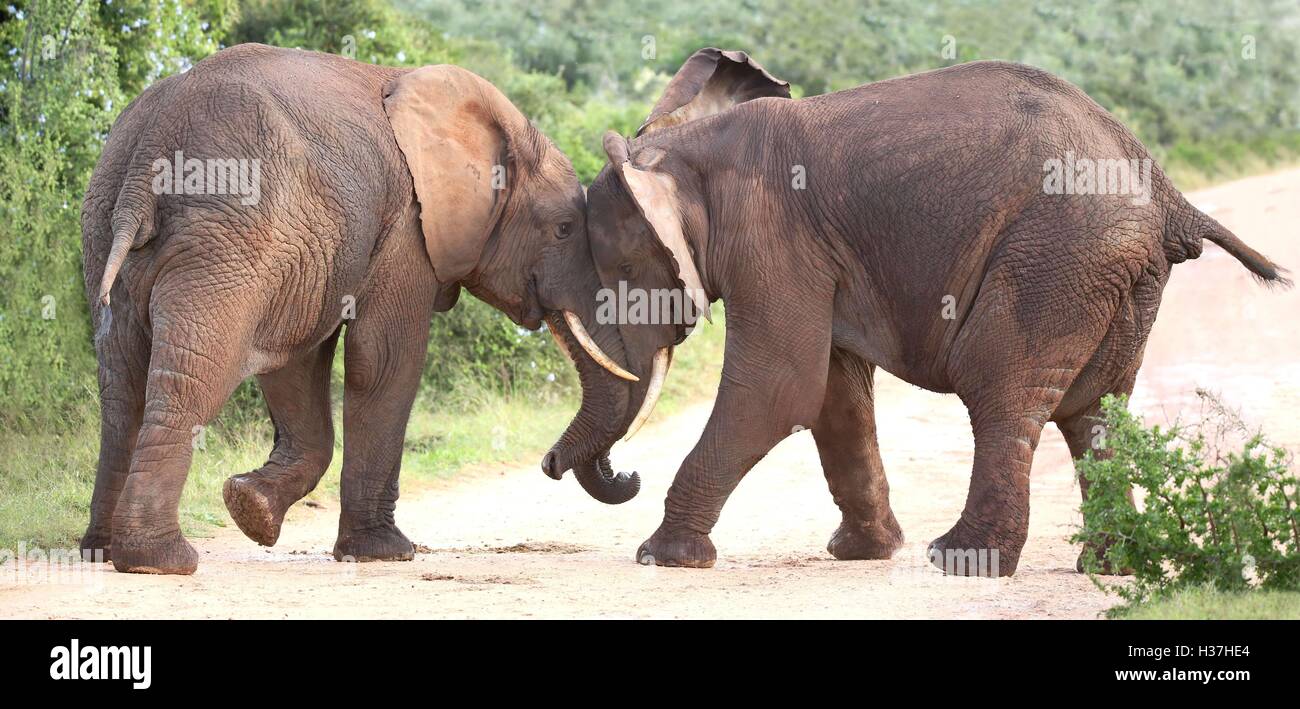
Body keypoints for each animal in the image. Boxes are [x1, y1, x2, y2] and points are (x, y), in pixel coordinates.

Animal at [80, 43, 639, 574]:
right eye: (564, 228)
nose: (629, 475)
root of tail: (153, 145)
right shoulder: (407, 227)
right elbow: (384, 360)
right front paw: (385, 552)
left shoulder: (317, 251)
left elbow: (299, 362)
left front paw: (251, 507)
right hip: (226, 235)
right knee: (193, 377)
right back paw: (160, 560)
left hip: (113, 222)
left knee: (121, 385)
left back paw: (103, 552)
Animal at [578, 48, 1289, 576]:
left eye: (618, 274)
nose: (625, 474)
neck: (682, 149)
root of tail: (1168, 194)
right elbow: (834, 394)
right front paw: (861, 554)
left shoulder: (772, 234)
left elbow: (779, 388)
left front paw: (659, 558)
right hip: (1117, 275)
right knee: (1095, 412)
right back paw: (1108, 567)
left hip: (1059, 257)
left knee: (1002, 390)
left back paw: (960, 560)